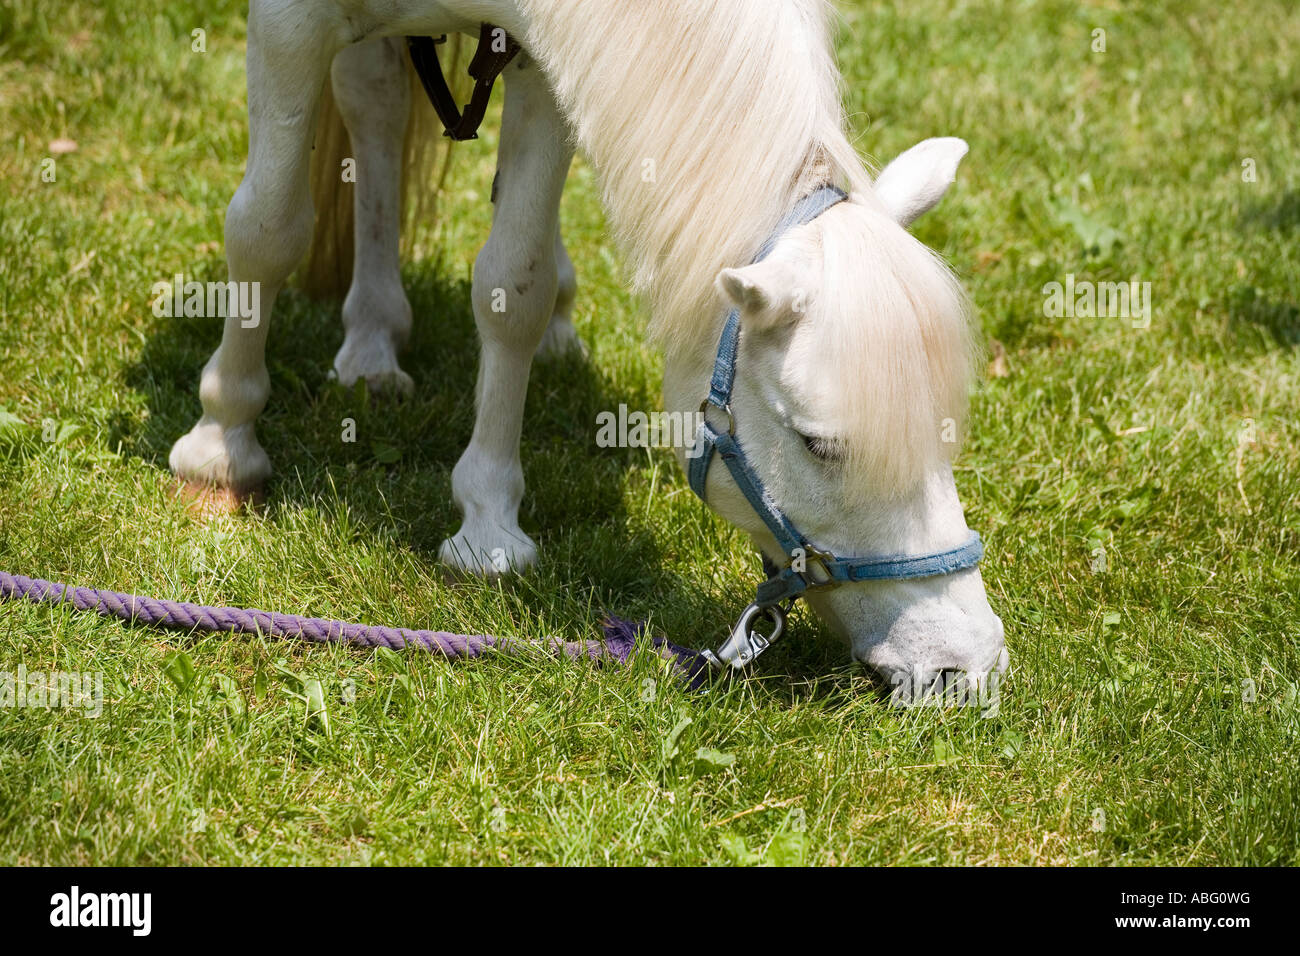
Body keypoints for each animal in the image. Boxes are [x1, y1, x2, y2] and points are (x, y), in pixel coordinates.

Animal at [166, 0, 1007, 697]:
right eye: (818, 444)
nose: (964, 662)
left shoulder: (541, 54)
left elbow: (516, 282)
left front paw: (487, 519)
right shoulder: (290, 23)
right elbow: (267, 228)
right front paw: (220, 446)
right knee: (371, 104)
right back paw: (370, 344)